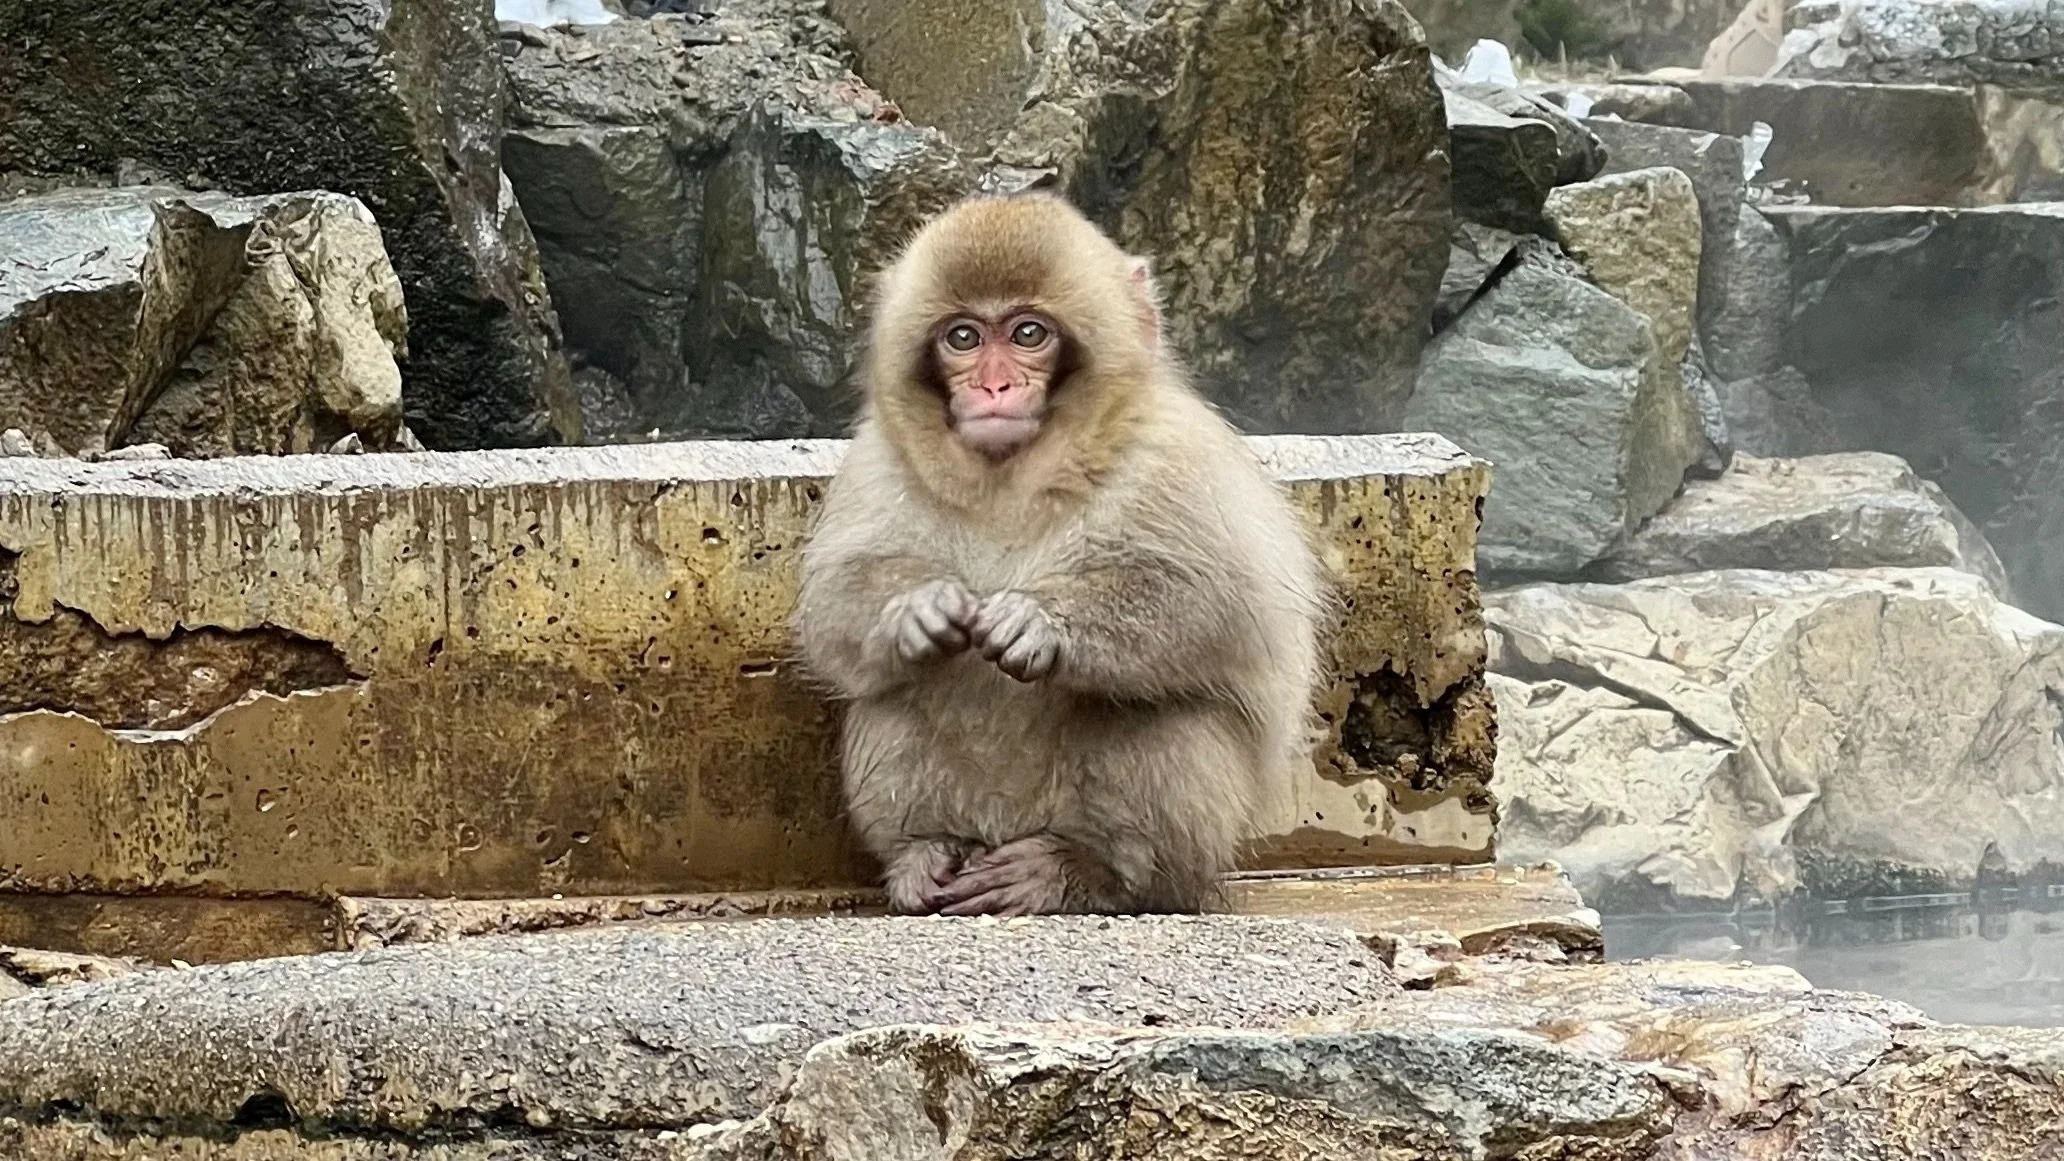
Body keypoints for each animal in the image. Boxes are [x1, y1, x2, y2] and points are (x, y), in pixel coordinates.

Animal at [791, 191, 1325, 917]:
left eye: (1027, 334)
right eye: (964, 338)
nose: (993, 388)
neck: (1012, 480)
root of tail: (1007, 829)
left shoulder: (1176, 452)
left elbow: (1232, 603)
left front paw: (1037, 622)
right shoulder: (877, 460)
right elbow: (831, 603)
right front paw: (917, 611)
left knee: (1162, 716)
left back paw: (1090, 874)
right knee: (891, 697)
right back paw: (924, 854)